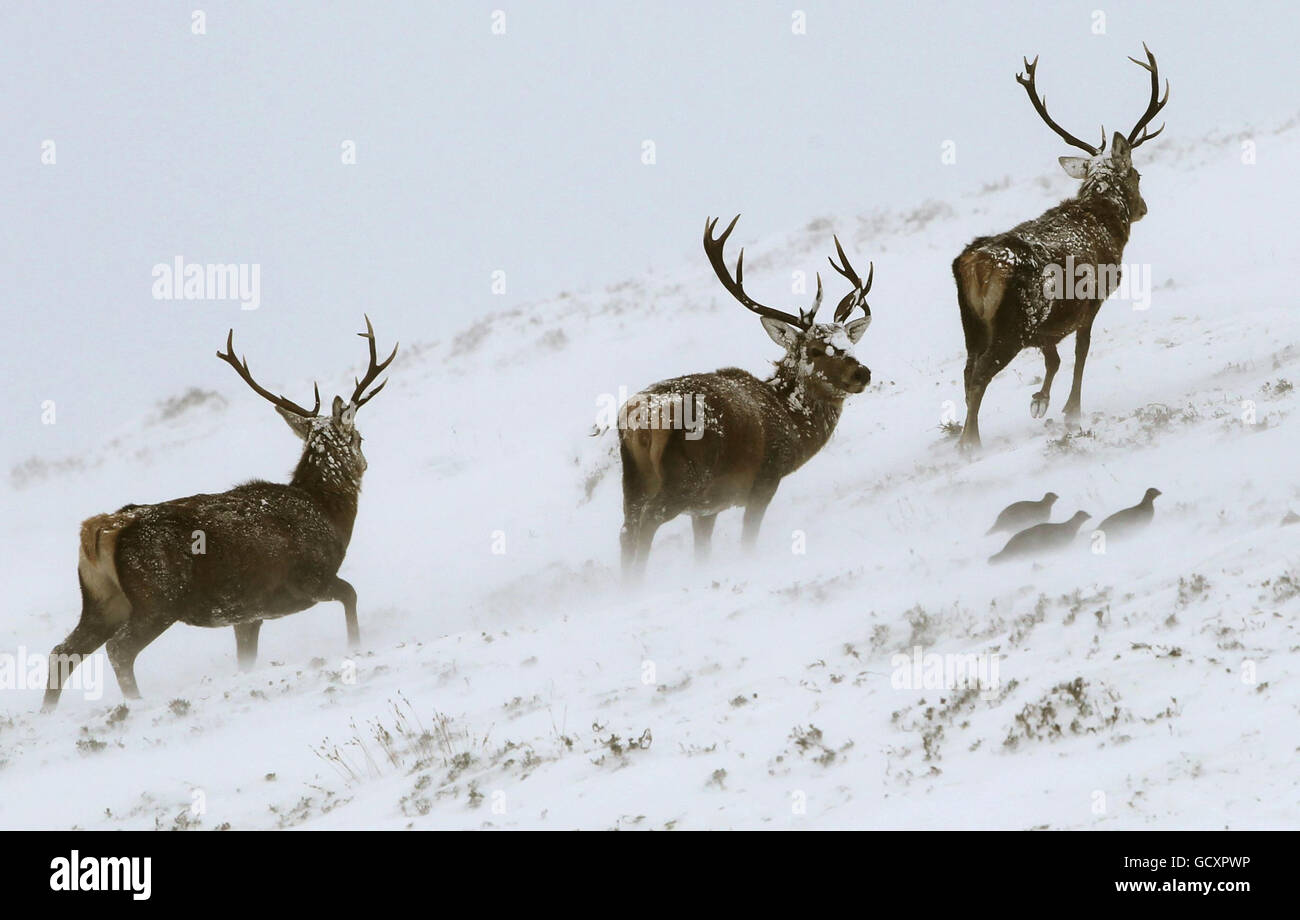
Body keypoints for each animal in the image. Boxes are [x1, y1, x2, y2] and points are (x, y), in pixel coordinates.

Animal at [41, 318, 397, 712]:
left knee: (62, 651)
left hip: (102, 600)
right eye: (360, 438)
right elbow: (351, 595)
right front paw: (356, 647)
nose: (366, 461)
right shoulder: (310, 578)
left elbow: (246, 658)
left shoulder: (248, 613)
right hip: (158, 597)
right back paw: (136, 701)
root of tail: (103, 528)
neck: (329, 513)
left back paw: (47, 714)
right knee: (119, 649)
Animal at [618, 215, 873, 579]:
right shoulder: (765, 478)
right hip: (684, 478)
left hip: (634, 481)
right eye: (813, 349)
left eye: (850, 343)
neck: (792, 423)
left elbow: (703, 552)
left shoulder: (707, 507)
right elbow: (748, 539)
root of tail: (640, 419)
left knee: (627, 529)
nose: (861, 373)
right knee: (647, 523)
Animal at [954, 44, 1170, 454]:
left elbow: (1052, 360)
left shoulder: (1047, 327)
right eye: (1137, 174)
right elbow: (1081, 352)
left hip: (972, 324)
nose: (1144, 208)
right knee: (981, 374)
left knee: (967, 370)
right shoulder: (1092, 300)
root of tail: (974, 264)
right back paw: (970, 443)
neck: (1103, 220)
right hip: (1013, 323)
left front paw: (1040, 401)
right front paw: (1072, 411)